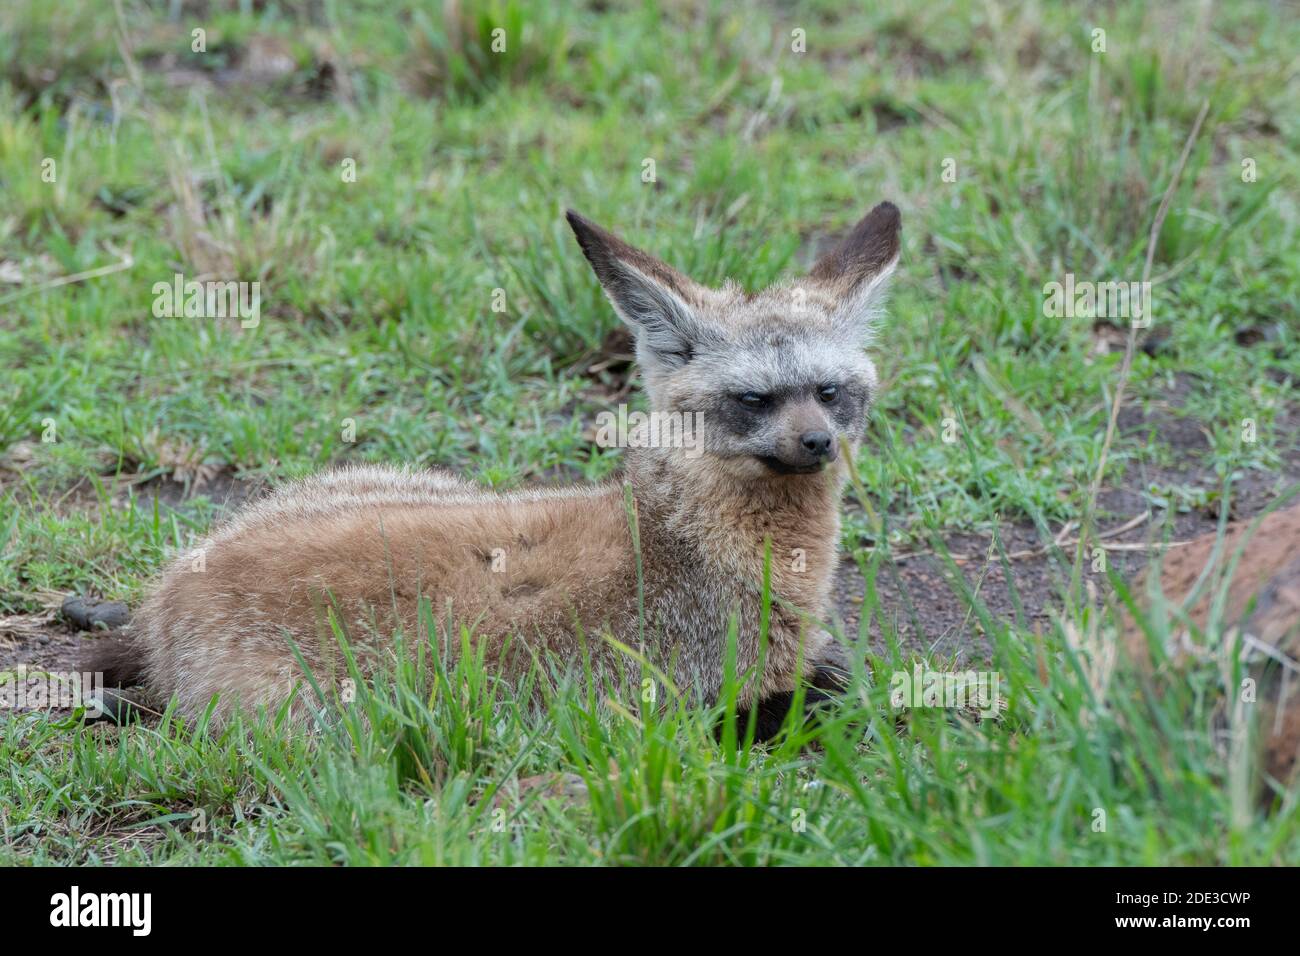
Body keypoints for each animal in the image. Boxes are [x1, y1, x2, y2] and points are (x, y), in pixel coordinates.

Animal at [87, 201, 902, 734]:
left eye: (830, 392)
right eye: (753, 399)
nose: (818, 443)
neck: (686, 538)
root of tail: (165, 603)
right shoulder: (678, 706)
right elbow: (836, 692)